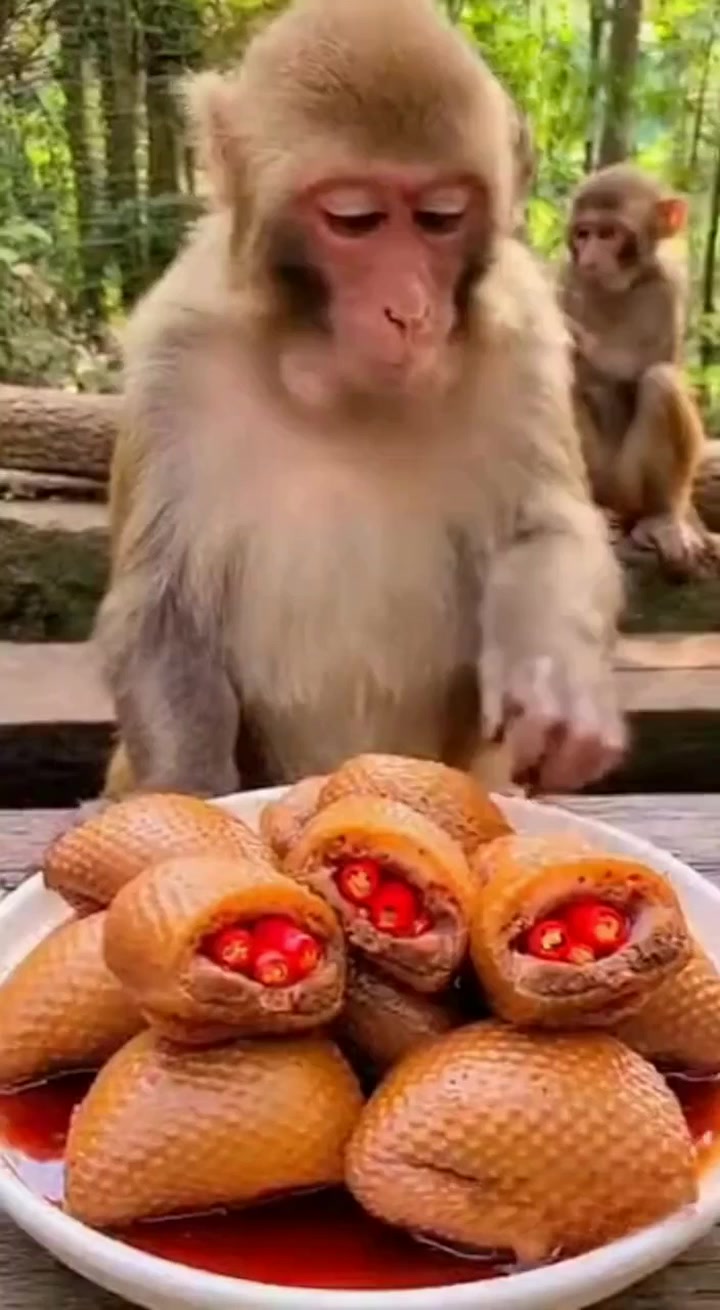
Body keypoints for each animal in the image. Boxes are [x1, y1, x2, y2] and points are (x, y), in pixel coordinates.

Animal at [95, 0, 625, 807]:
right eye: (354, 219)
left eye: (440, 217)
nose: (408, 309)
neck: (336, 386)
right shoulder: (170, 357)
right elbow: (160, 608)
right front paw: (190, 795)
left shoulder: (526, 335)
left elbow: (550, 527)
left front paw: (555, 684)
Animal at [559, 163, 711, 579]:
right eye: (583, 234)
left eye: (608, 234)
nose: (590, 256)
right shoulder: (566, 275)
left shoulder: (668, 284)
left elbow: (650, 365)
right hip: (594, 476)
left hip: (628, 487)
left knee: (661, 381)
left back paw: (663, 519)